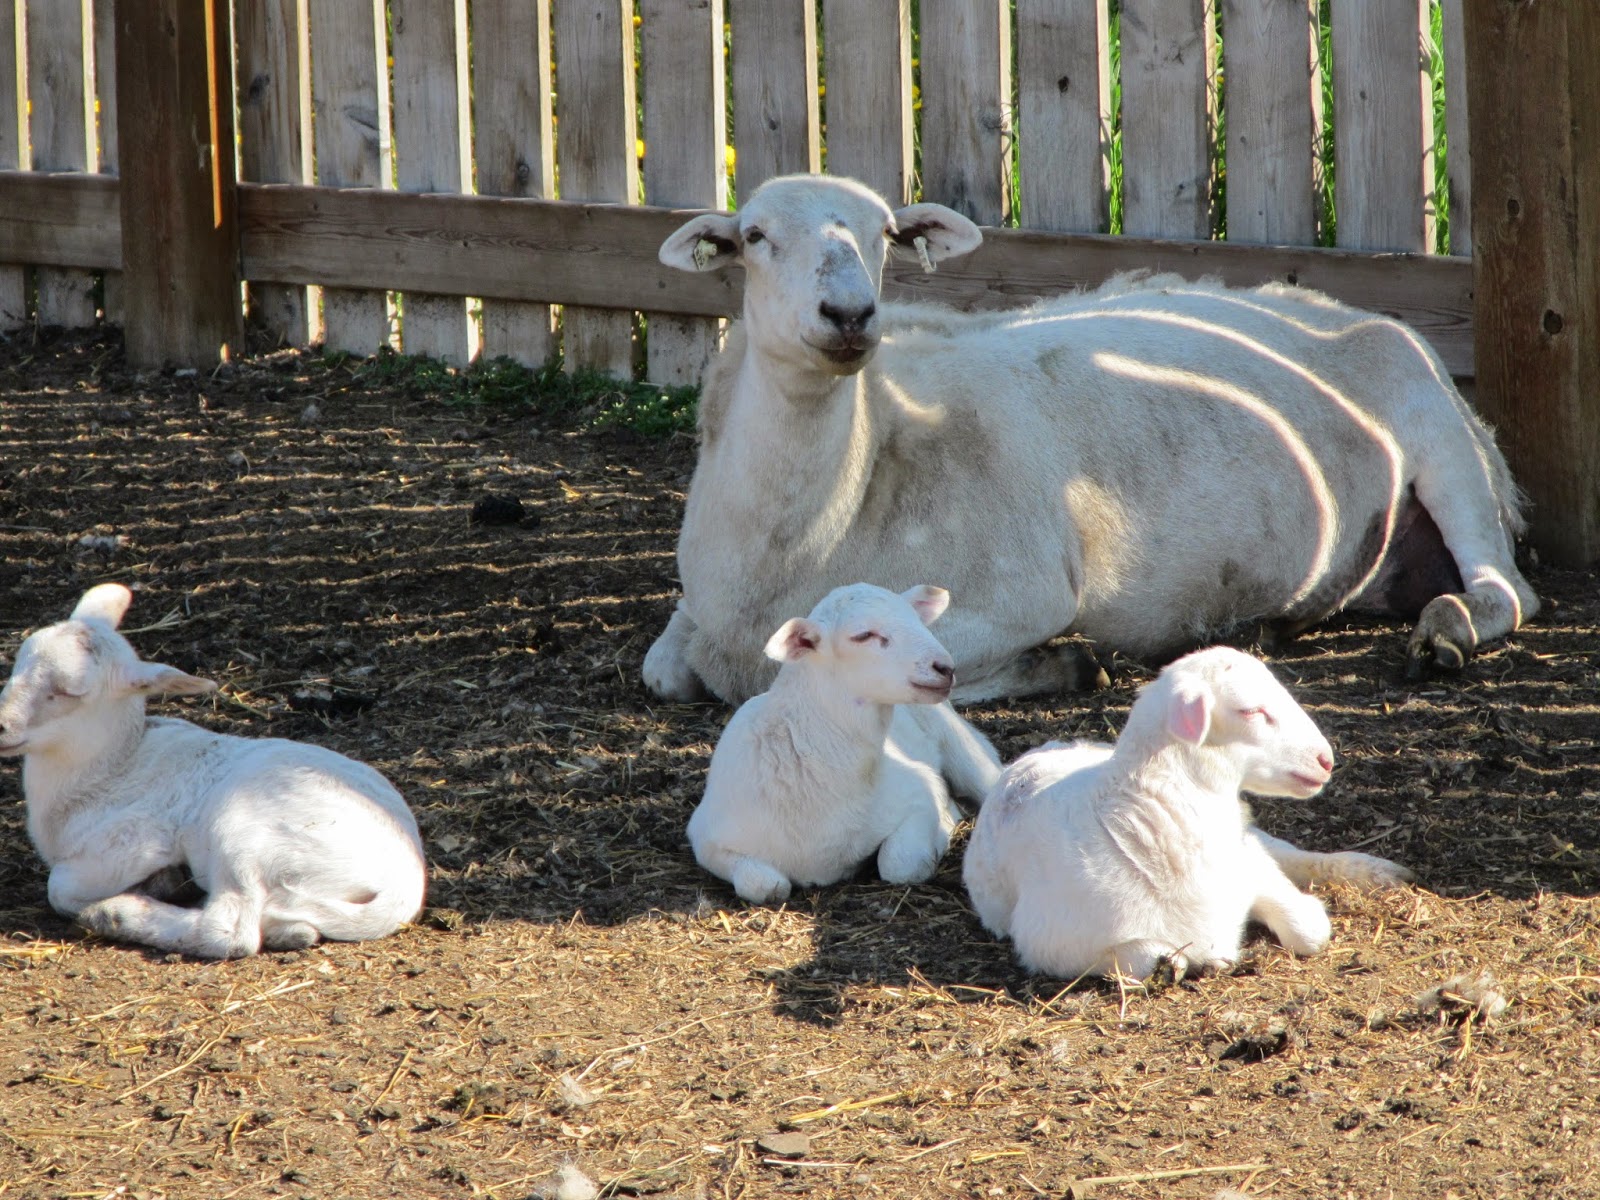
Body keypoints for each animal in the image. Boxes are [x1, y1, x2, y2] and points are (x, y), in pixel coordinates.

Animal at [0, 584, 427, 959]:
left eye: (69, 691)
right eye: (19, 663)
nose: (1, 725)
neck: (114, 770)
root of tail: (402, 886)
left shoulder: (136, 839)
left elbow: (59, 886)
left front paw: (160, 881)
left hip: (248, 834)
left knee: (230, 931)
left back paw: (115, 914)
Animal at [642, 173, 1538, 706]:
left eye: (885, 235)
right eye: (755, 236)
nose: (851, 314)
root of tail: (1331, 302)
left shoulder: (1026, 589)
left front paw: (1064, 661)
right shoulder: (699, 610)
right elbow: (667, 669)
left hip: (1441, 436)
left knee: (1510, 591)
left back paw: (1447, 631)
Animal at [687, 582, 1001, 904]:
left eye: (916, 619)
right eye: (862, 635)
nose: (945, 668)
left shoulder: (920, 791)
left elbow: (901, 865)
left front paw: (945, 822)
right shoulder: (706, 838)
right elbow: (766, 886)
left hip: (960, 743)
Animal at [961, 646, 1413, 981]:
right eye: (1250, 710)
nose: (1325, 760)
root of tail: (1040, 751)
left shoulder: (1247, 864)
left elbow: (1308, 929)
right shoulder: (1048, 944)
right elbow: (1145, 959)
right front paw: (1179, 961)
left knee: (1289, 853)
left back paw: (1379, 872)